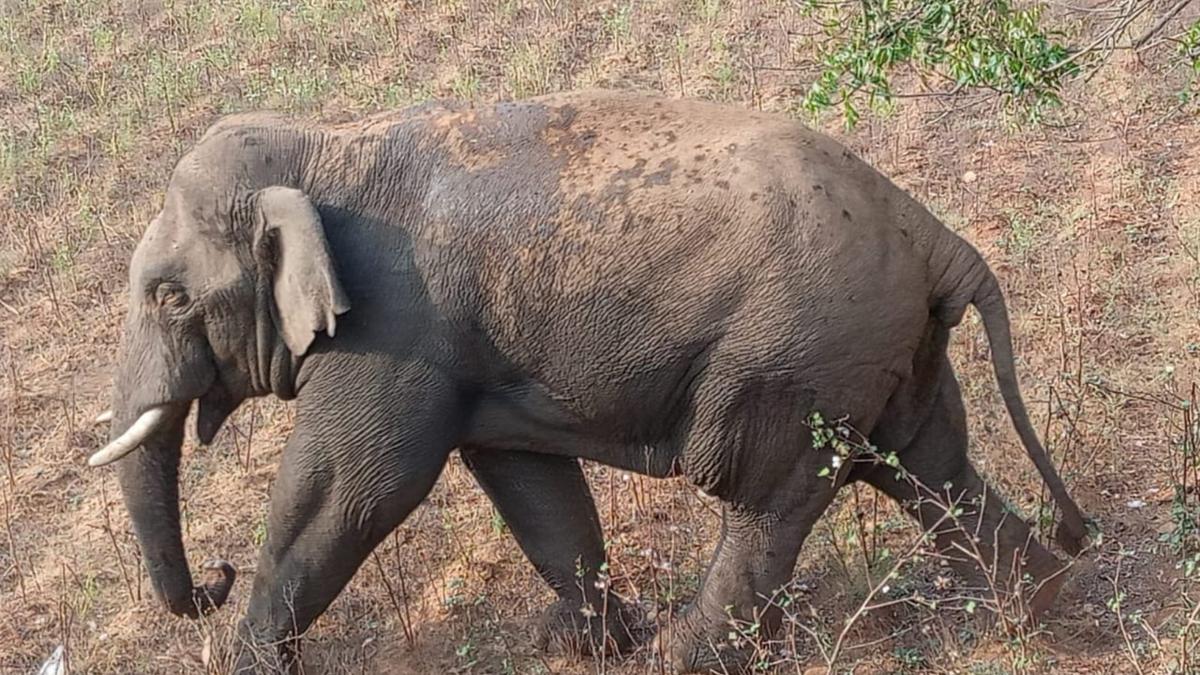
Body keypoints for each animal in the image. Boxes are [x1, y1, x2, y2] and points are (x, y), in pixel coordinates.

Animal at [90, 89, 1088, 673]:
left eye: (169, 295)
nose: (213, 581)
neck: (325, 143)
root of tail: (933, 234)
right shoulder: (463, 351)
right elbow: (525, 480)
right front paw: (584, 642)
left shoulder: (394, 326)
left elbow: (352, 487)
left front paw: (245, 660)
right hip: (880, 348)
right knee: (927, 467)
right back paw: (1037, 607)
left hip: (795, 353)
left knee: (761, 495)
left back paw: (684, 655)